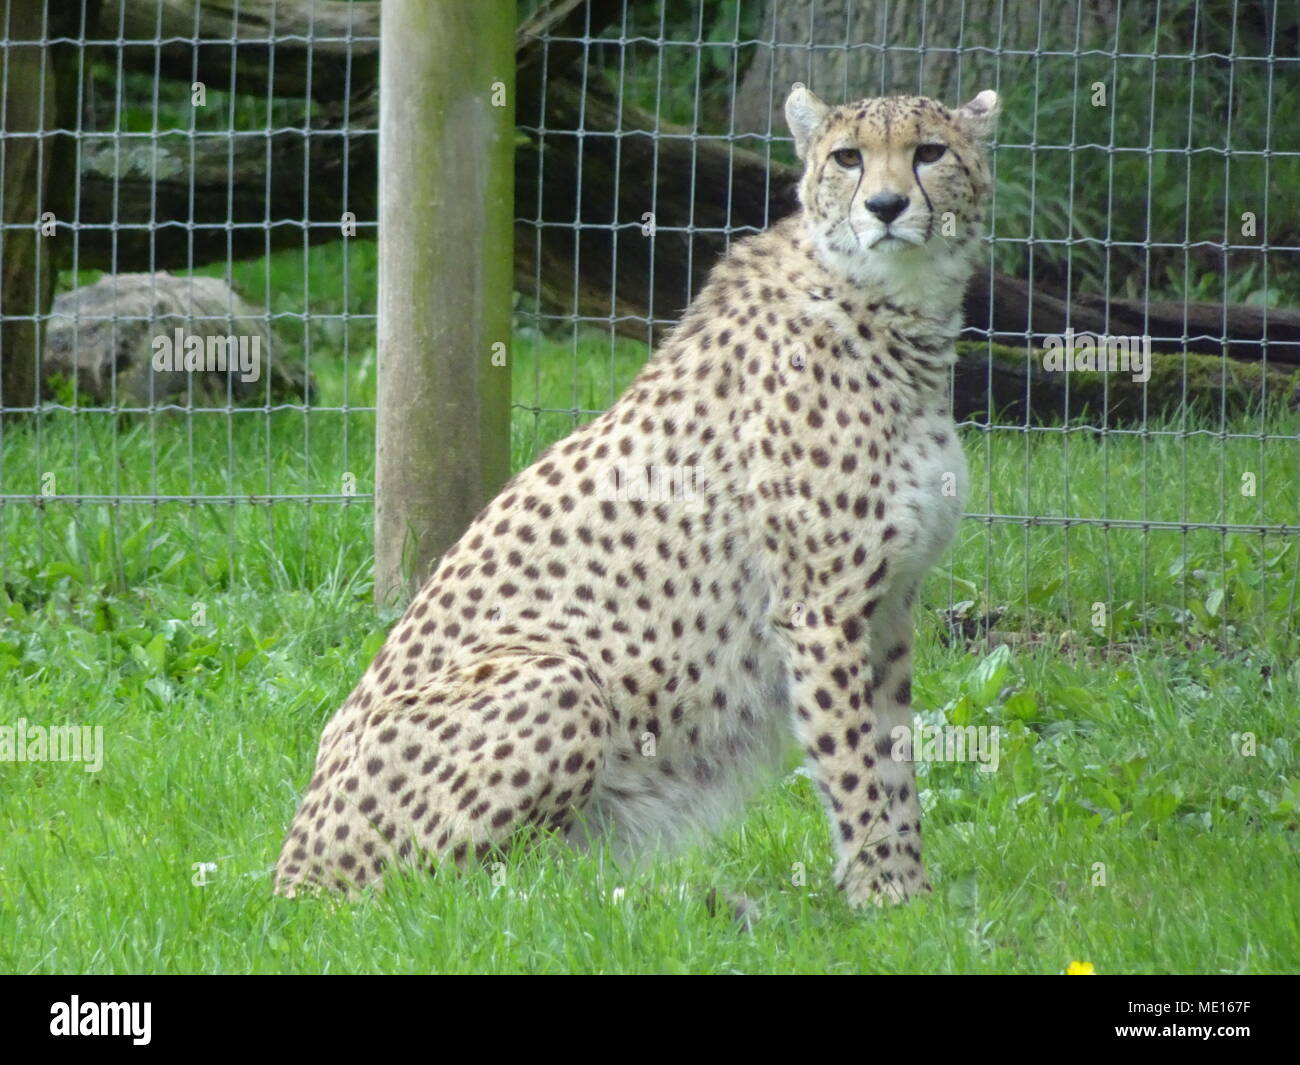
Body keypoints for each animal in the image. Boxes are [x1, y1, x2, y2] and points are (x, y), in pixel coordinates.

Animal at [274, 84, 1001, 907]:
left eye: (929, 153)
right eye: (848, 157)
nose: (884, 205)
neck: (890, 307)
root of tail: (290, 870)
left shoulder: (890, 606)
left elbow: (895, 758)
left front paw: (913, 897)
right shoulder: (823, 606)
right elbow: (851, 762)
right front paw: (881, 896)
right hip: (559, 677)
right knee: (456, 899)